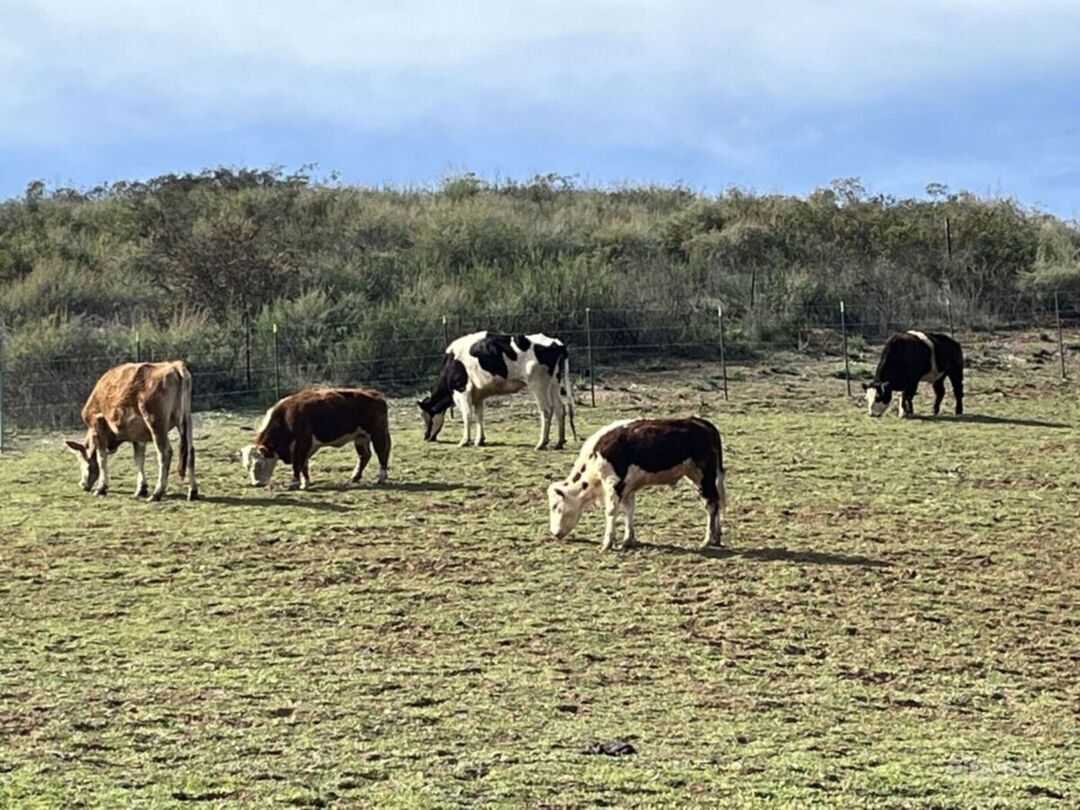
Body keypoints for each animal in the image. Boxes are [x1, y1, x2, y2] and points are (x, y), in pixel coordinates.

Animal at [65, 361, 198, 501]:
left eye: (80, 459)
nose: (82, 484)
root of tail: (174, 366)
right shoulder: (138, 437)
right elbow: (139, 459)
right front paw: (141, 488)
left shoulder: (98, 424)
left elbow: (102, 457)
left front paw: (101, 488)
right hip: (186, 420)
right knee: (190, 451)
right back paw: (193, 490)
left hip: (156, 423)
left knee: (165, 452)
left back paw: (157, 492)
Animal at [241, 387, 391, 490]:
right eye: (247, 466)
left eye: (259, 464)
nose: (256, 484)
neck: (286, 417)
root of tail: (374, 394)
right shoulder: (307, 446)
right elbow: (303, 464)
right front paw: (305, 483)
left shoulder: (303, 442)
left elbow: (297, 463)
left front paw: (294, 483)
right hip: (360, 437)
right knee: (364, 456)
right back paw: (354, 478)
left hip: (378, 433)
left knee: (382, 453)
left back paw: (381, 478)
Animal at [418, 331, 577, 450]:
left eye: (427, 416)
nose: (426, 437)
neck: (452, 363)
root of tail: (556, 342)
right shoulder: (478, 395)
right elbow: (479, 416)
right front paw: (479, 440)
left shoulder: (462, 390)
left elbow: (467, 415)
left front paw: (464, 441)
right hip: (554, 383)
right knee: (560, 409)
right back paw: (559, 442)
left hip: (539, 384)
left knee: (547, 410)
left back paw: (541, 444)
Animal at [547, 416, 726, 552]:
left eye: (555, 507)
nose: (554, 533)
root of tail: (701, 422)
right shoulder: (628, 488)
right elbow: (629, 510)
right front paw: (628, 539)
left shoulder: (613, 484)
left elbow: (611, 512)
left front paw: (607, 543)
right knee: (715, 501)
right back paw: (716, 537)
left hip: (703, 476)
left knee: (711, 504)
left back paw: (707, 539)